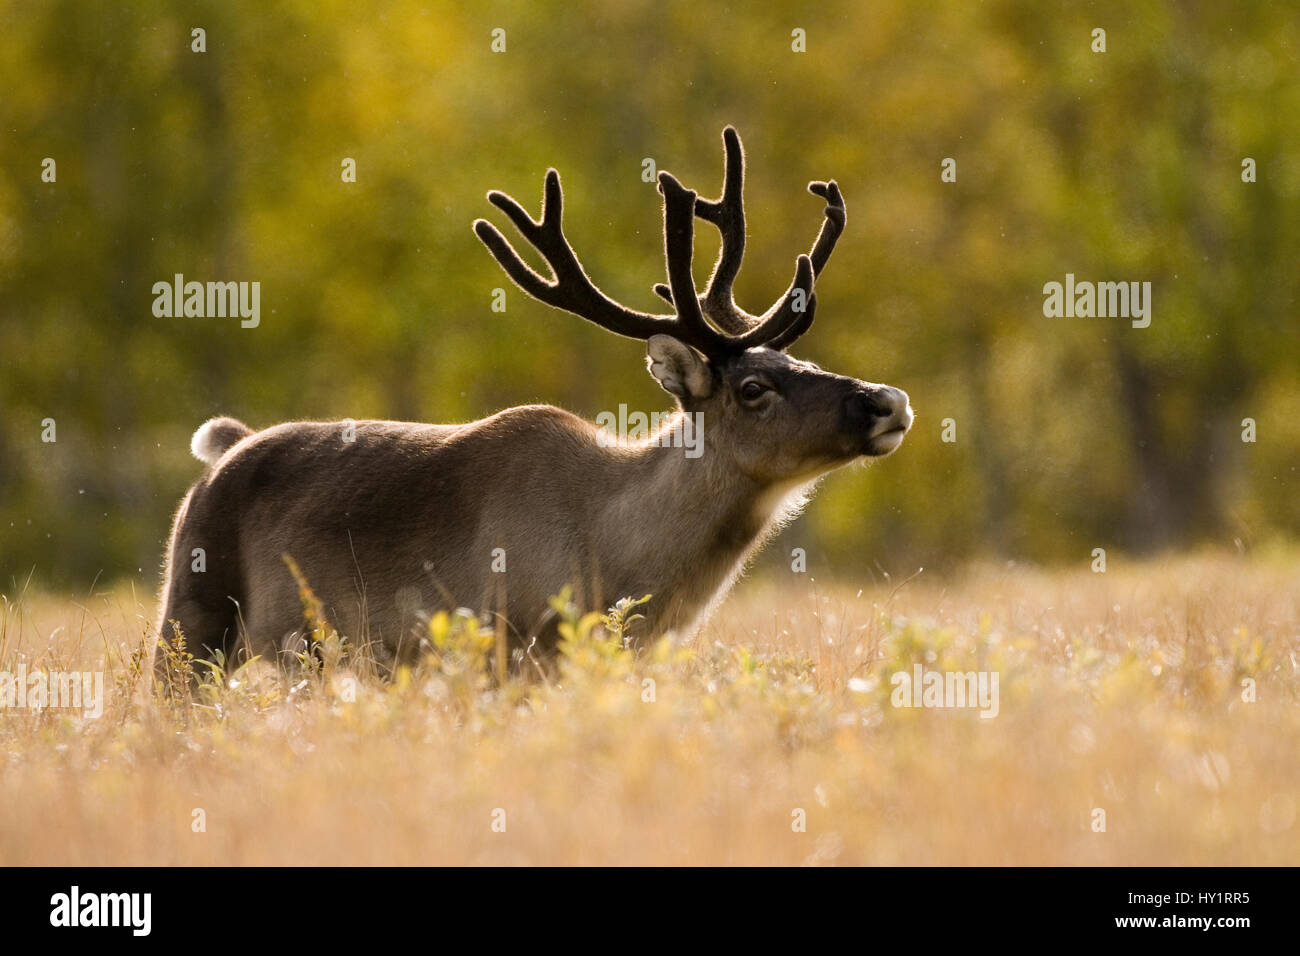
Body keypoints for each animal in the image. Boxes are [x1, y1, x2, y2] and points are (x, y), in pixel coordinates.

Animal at [153, 127, 912, 683]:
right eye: (754, 389)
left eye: (800, 362)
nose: (888, 399)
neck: (617, 557)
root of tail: (225, 449)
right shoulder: (504, 644)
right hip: (190, 618)